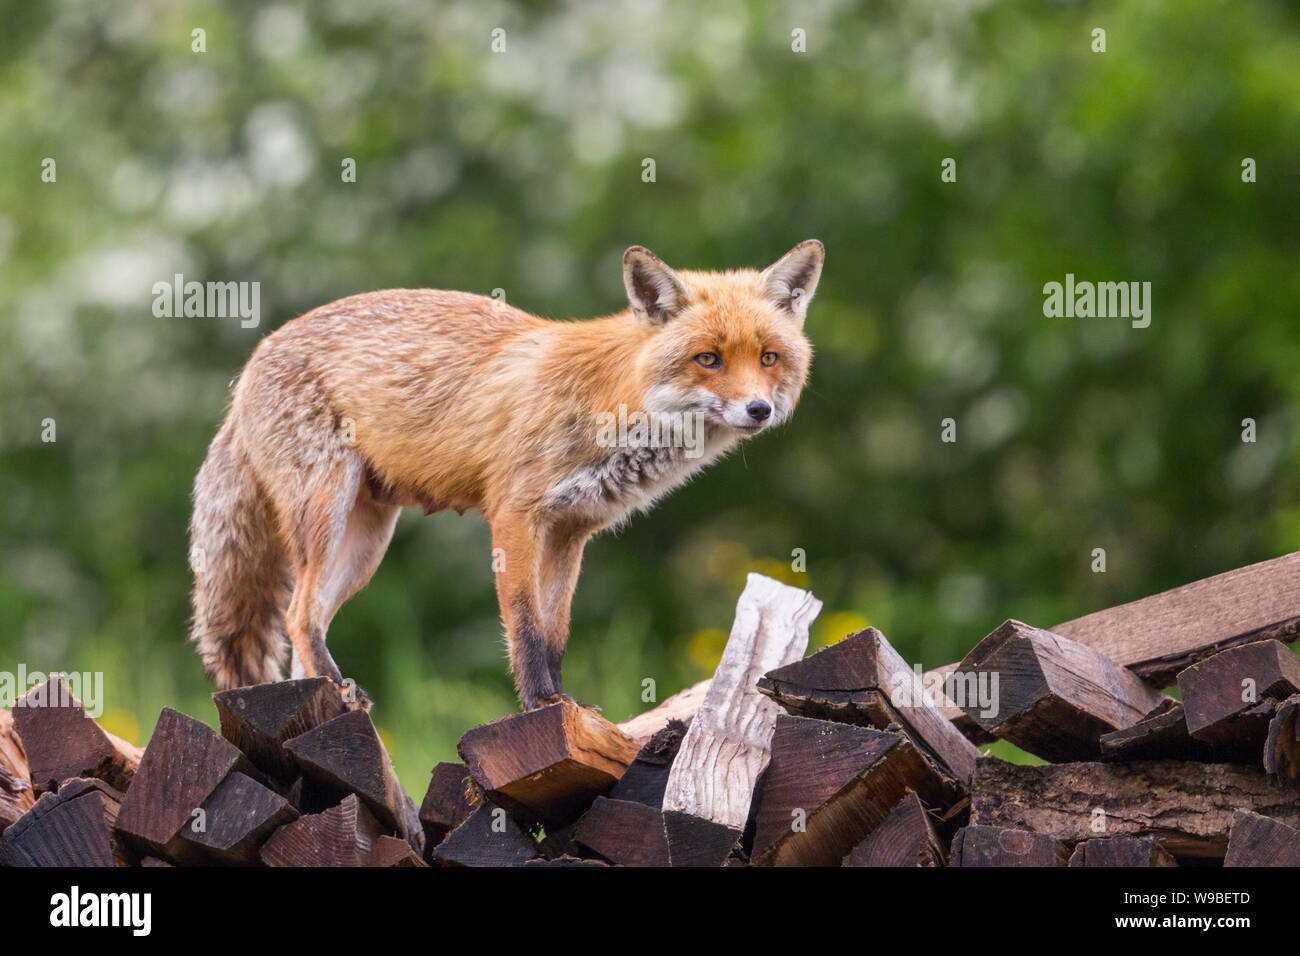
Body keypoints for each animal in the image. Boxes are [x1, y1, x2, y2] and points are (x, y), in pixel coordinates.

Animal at [188, 239, 824, 711]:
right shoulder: (516, 516)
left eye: (768, 358)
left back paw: (327, 692)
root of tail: (250, 364)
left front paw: (570, 706)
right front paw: (540, 704)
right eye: (708, 359)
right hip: (327, 514)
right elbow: (525, 627)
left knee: (309, 623)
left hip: (366, 544)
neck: (612, 402)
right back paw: (339, 688)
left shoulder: (571, 531)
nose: (758, 410)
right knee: (298, 616)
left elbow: (557, 631)